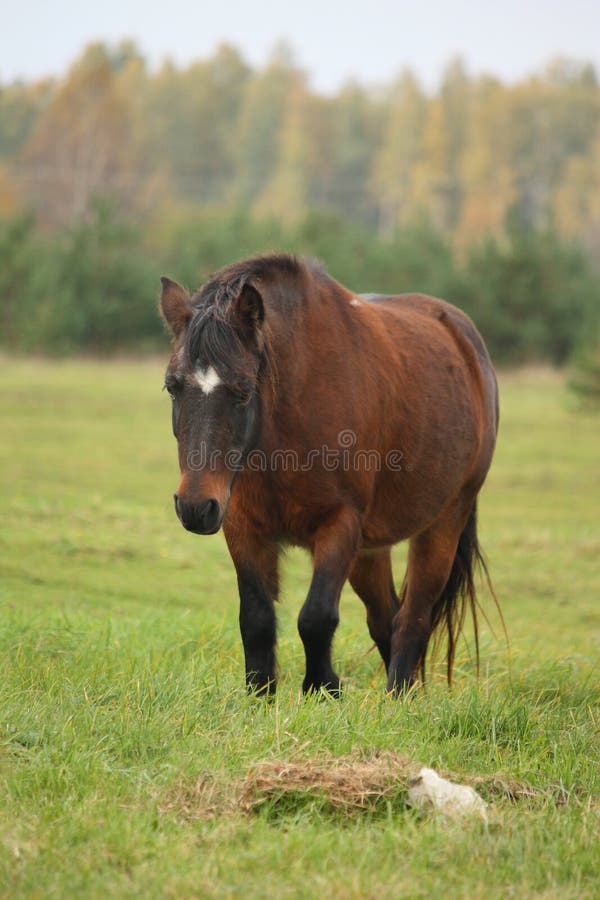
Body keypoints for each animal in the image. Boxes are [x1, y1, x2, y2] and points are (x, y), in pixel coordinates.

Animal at [158, 254, 499, 696]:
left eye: (243, 391)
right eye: (172, 387)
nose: (196, 507)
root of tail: (466, 342)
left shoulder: (340, 523)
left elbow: (316, 617)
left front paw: (323, 689)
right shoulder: (242, 525)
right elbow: (256, 618)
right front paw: (261, 693)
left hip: (442, 525)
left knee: (413, 619)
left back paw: (397, 697)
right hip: (370, 552)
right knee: (386, 619)